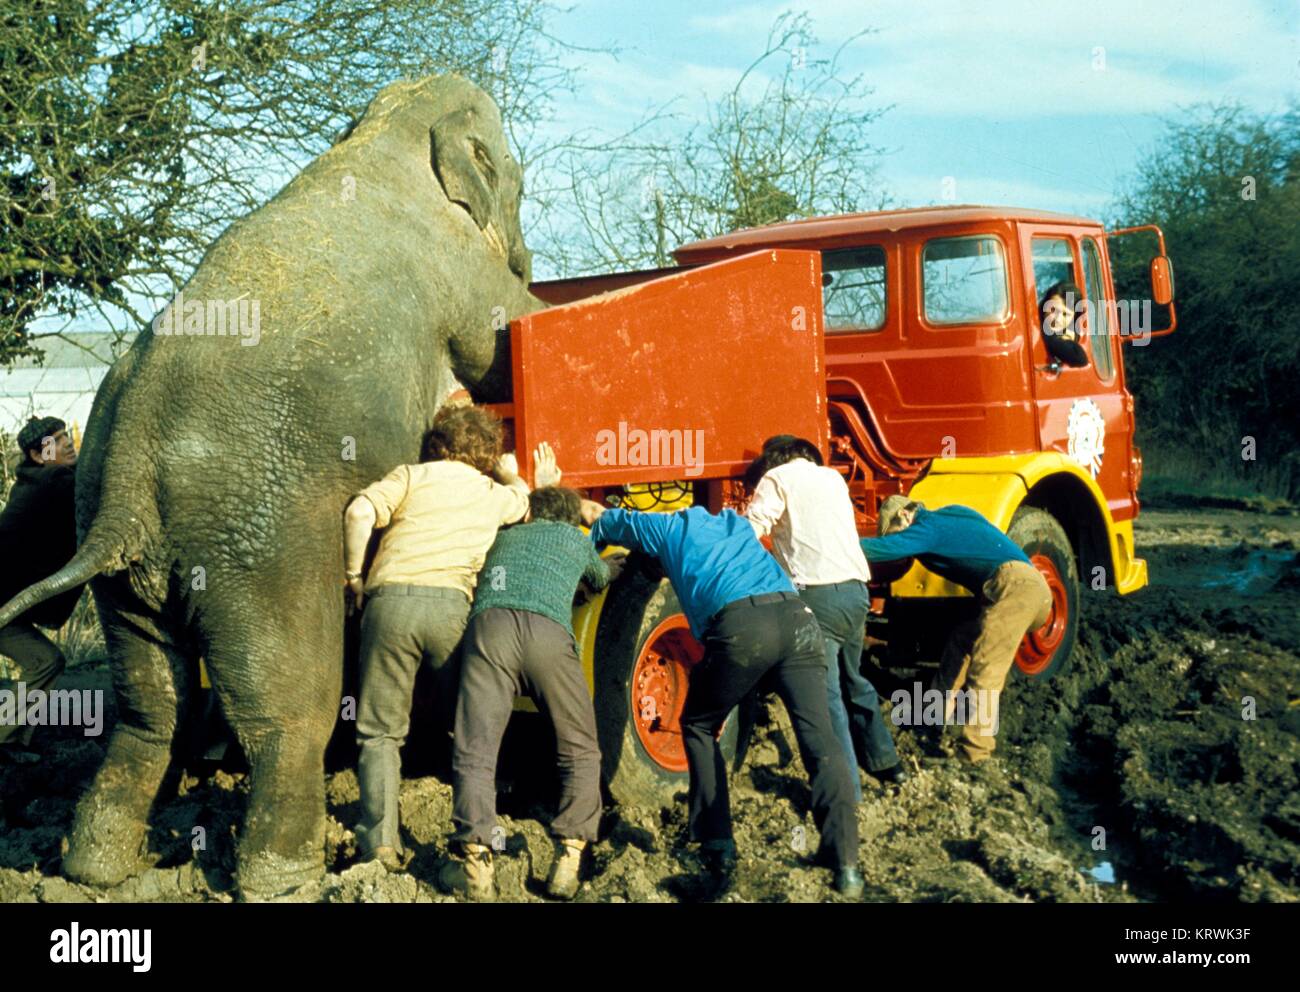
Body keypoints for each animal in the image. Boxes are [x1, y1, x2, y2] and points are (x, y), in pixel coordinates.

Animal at [0, 74, 543, 900]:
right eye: (517, 179)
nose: (529, 256)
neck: (388, 129)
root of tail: (126, 486)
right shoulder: (461, 272)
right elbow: (502, 337)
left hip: (126, 568)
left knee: (149, 706)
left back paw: (93, 870)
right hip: (261, 548)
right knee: (289, 708)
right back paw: (285, 878)